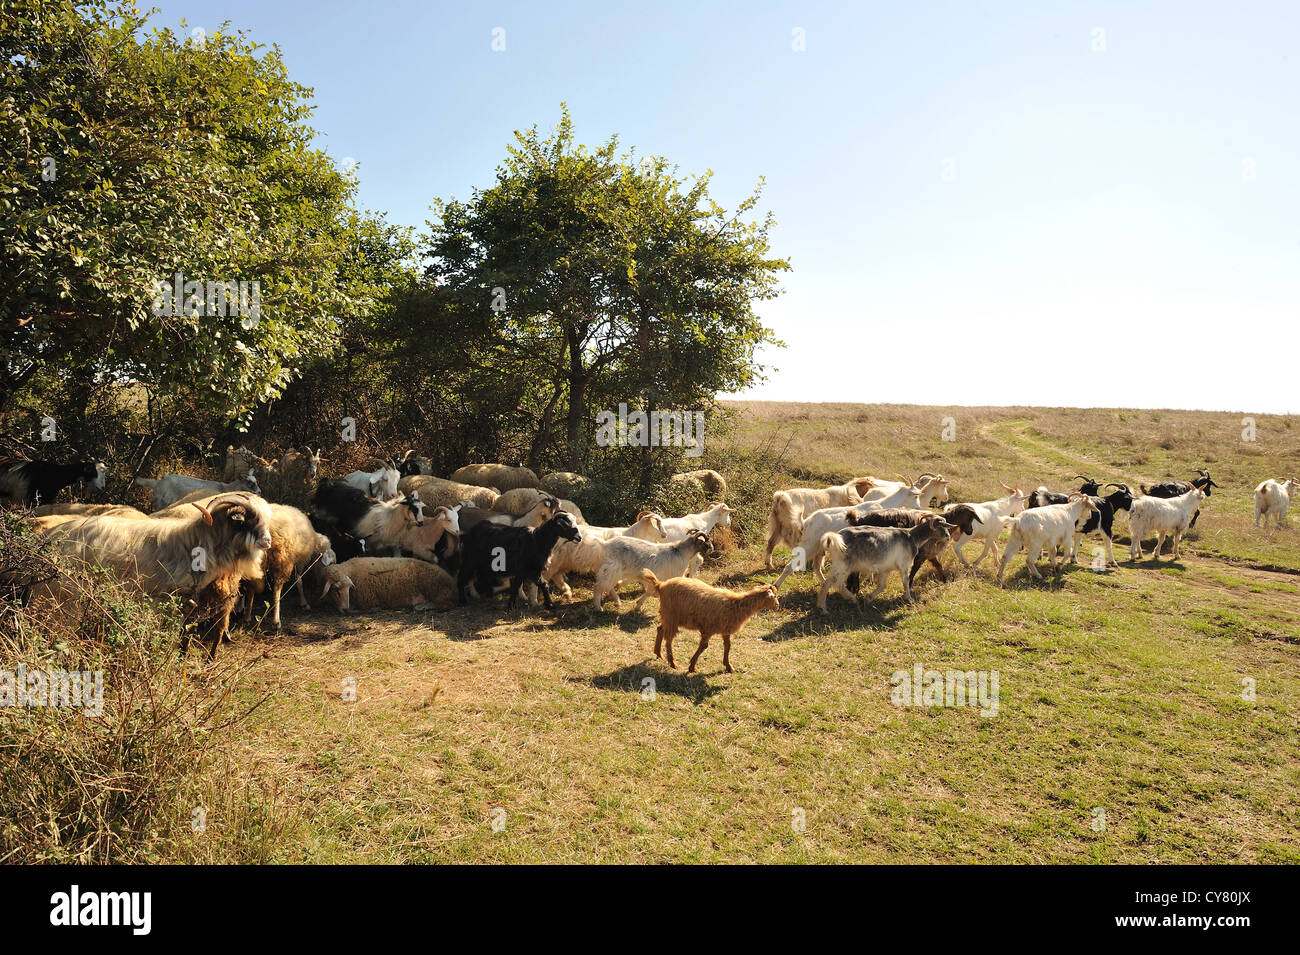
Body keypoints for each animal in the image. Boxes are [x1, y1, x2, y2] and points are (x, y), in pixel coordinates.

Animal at [641, 571, 779, 674]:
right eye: (774, 597)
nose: (778, 606)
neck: (736, 604)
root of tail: (661, 585)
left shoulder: (725, 630)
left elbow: (728, 646)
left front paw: (729, 666)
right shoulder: (708, 629)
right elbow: (704, 646)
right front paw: (692, 666)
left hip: (669, 616)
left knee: (660, 629)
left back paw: (659, 654)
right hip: (671, 616)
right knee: (668, 639)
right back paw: (672, 663)